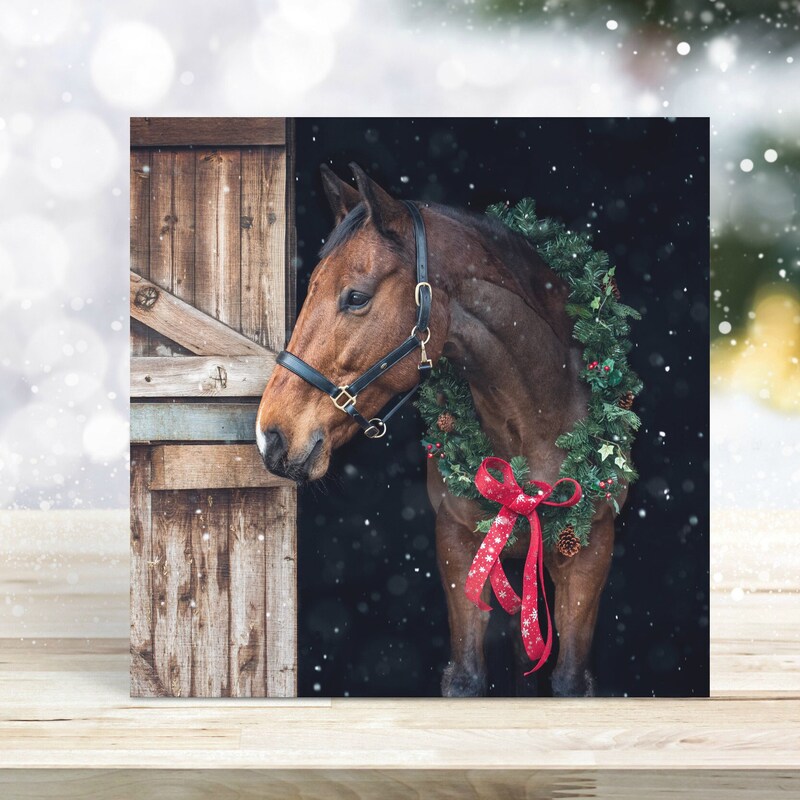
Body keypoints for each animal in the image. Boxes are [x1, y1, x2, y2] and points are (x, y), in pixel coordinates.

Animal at [256, 163, 625, 697]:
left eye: (356, 297)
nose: (271, 435)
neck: (532, 427)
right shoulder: (457, 546)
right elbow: (466, 676)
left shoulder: (590, 553)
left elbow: (569, 682)